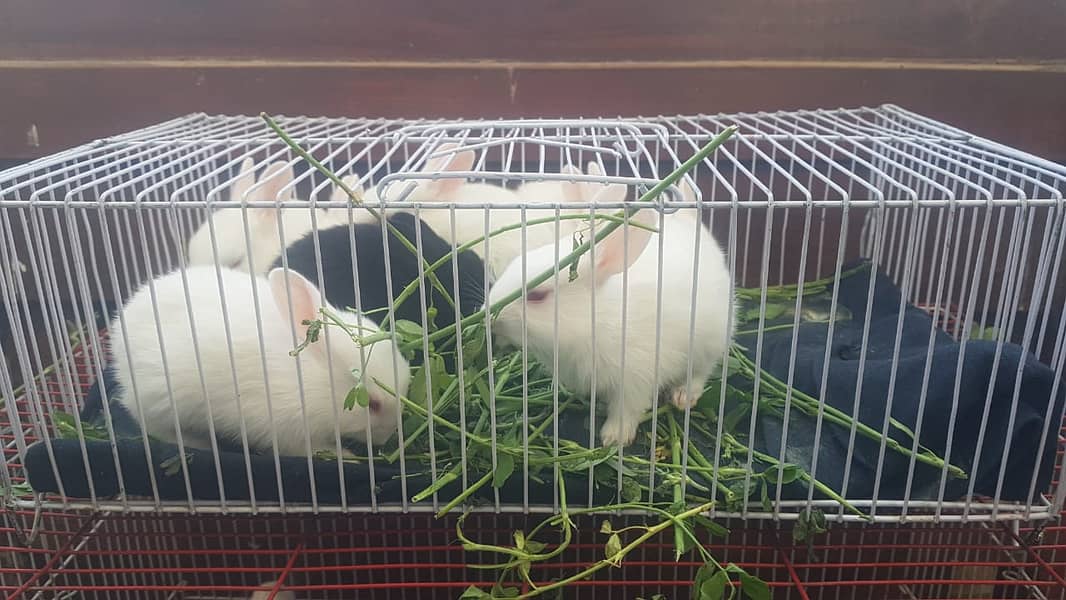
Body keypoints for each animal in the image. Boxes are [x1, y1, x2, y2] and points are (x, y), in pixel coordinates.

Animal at [109, 265, 411, 457]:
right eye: (373, 405)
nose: (388, 436)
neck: (312, 380)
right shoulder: (287, 431)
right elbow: (312, 449)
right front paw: (347, 456)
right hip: (161, 399)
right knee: (148, 421)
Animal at [485, 179, 733, 447]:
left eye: (537, 295)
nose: (487, 316)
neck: (600, 318)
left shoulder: (636, 378)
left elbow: (627, 410)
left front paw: (613, 439)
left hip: (707, 343)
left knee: (700, 373)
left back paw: (682, 397)